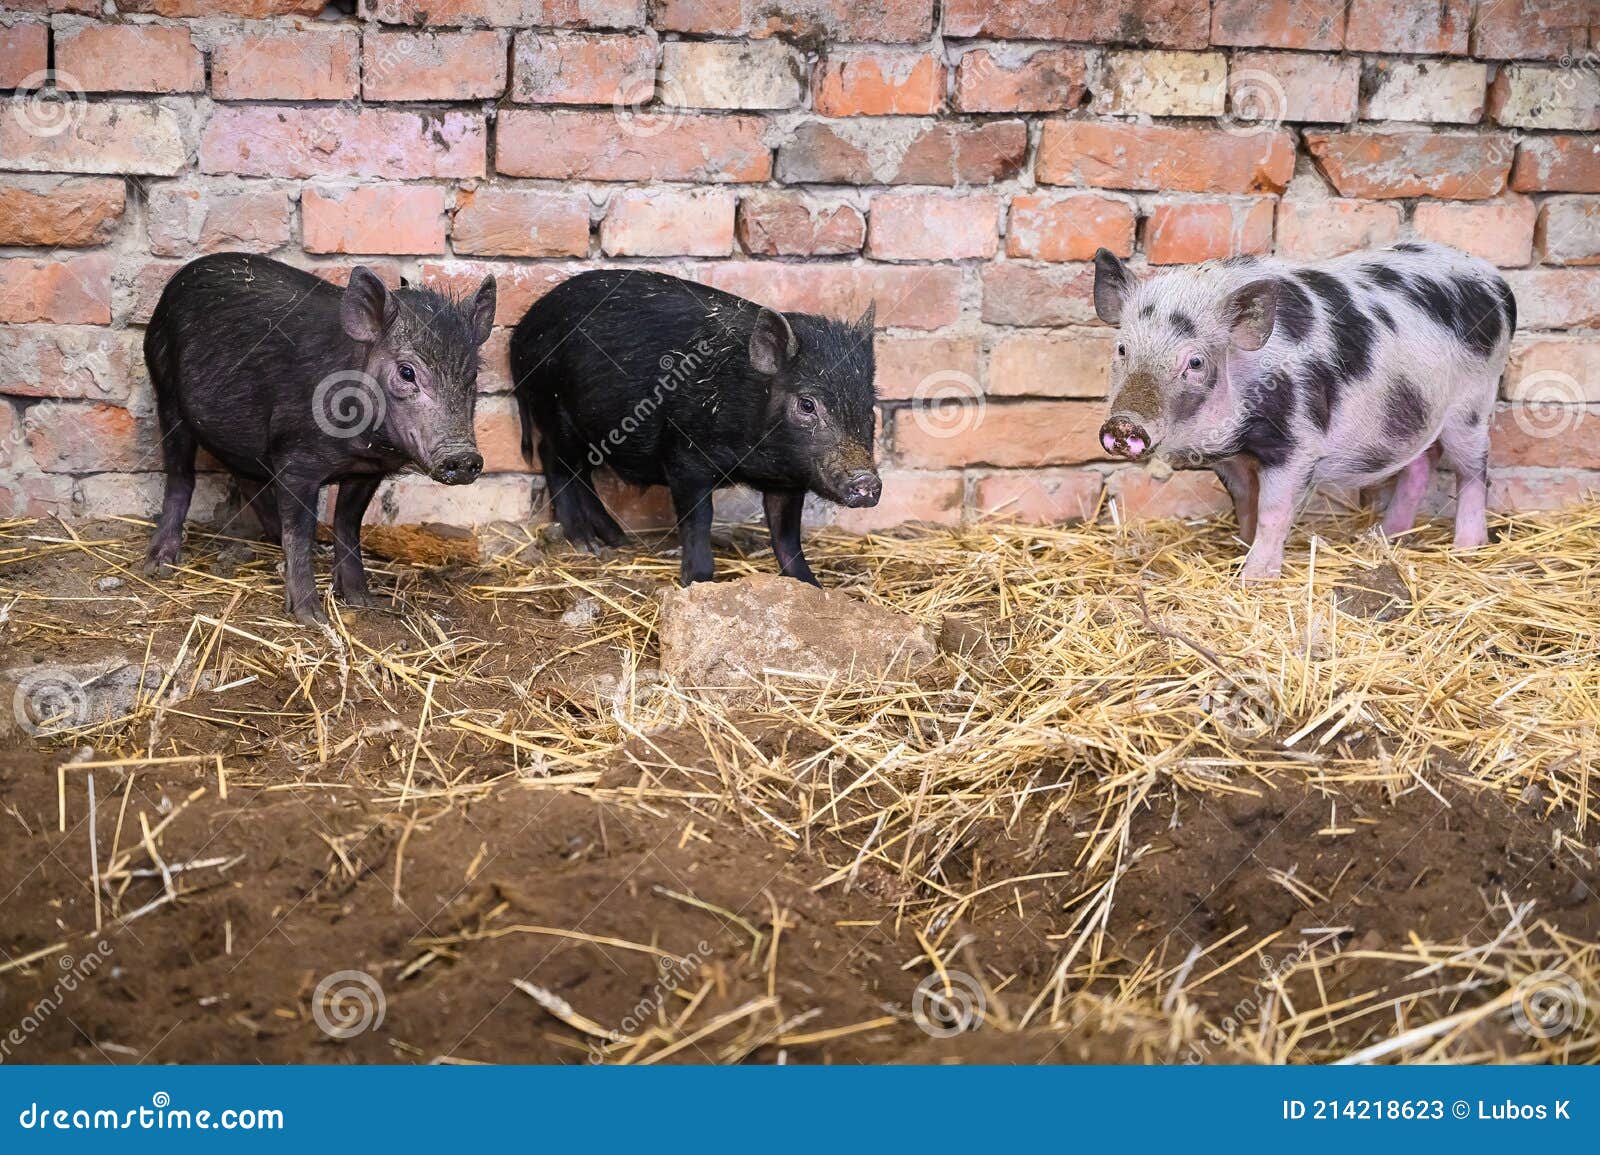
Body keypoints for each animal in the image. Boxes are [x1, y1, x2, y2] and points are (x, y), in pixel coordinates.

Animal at [142, 253, 496, 624]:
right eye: (406, 372)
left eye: (472, 375)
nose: (464, 457)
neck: (364, 445)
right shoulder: (295, 460)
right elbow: (300, 531)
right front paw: (311, 616)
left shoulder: (366, 472)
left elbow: (348, 526)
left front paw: (362, 600)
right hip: (166, 394)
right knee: (180, 477)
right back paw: (160, 565)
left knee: (246, 478)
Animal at [511, 269, 880, 587]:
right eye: (807, 404)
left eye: (870, 405)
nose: (867, 481)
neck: (759, 459)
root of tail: (523, 327)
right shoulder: (685, 458)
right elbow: (698, 520)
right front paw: (697, 582)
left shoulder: (788, 481)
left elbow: (787, 536)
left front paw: (812, 586)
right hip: (554, 410)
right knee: (555, 460)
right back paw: (586, 544)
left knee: (582, 471)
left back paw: (618, 539)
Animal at [1093, 242, 1515, 579]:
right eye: (1122, 349)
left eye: (1195, 362)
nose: (1124, 425)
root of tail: (1497, 280)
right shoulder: (1232, 459)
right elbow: (1246, 505)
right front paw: (1242, 552)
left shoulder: (1298, 444)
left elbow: (1274, 510)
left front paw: (1254, 579)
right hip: (1414, 410)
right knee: (1419, 465)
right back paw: (1380, 538)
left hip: (1472, 405)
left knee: (1473, 470)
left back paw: (1466, 549)